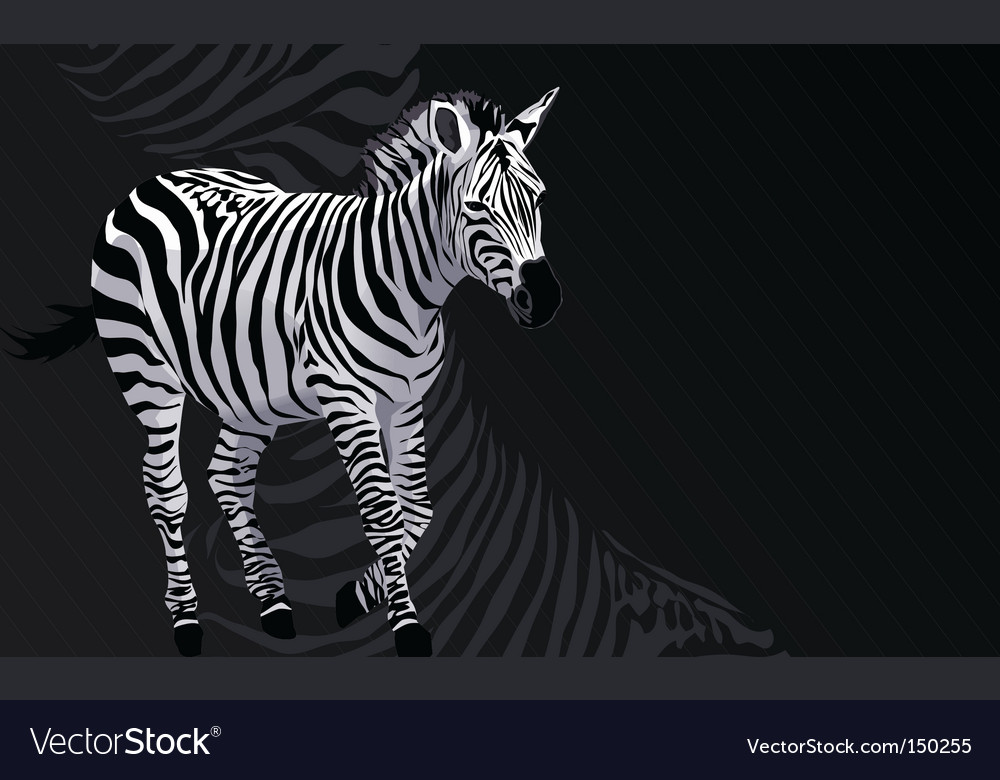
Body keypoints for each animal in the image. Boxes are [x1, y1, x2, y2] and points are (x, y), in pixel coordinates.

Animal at [6, 89, 562, 657]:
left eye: (539, 200)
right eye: (476, 209)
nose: (543, 300)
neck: (405, 285)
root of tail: (148, 184)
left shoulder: (405, 400)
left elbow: (418, 508)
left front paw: (357, 597)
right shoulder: (347, 400)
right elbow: (382, 512)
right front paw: (405, 625)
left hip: (246, 389)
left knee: (227, 474)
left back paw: (273, 604)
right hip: (146, 370)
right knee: (165, 489)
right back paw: (186, 619)